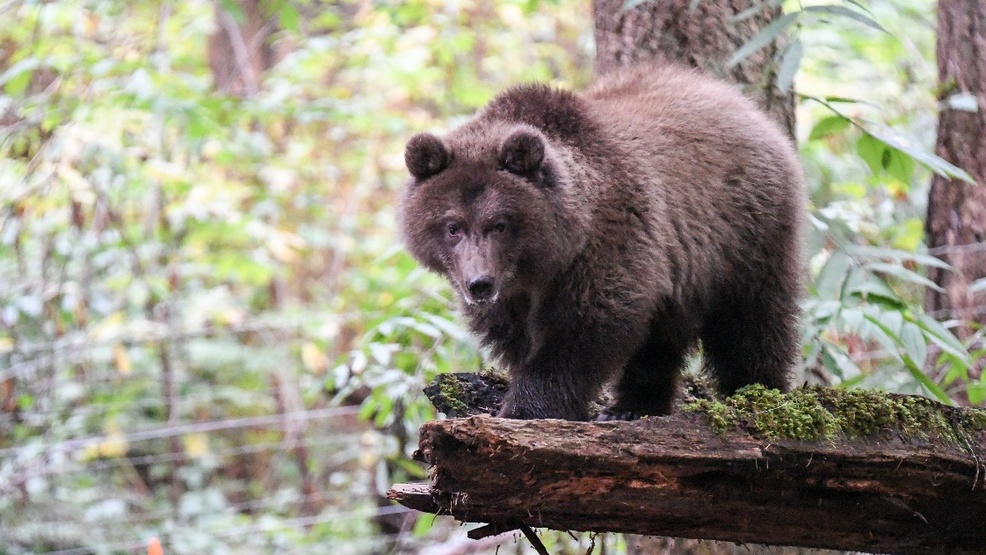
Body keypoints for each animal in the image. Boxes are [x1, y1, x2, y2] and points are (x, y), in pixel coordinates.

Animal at [398, 64, 805, 421]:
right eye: (452, 226)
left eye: (499, 224)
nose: (478, 284)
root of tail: (747, 106)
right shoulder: (511, 295)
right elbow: (517, 337)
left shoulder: (609, 240)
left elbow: (584, 327)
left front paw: (526, 407)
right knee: (662, 336)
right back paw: (636, 404)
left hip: (744, 230)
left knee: (752, 319)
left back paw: (758, 390)